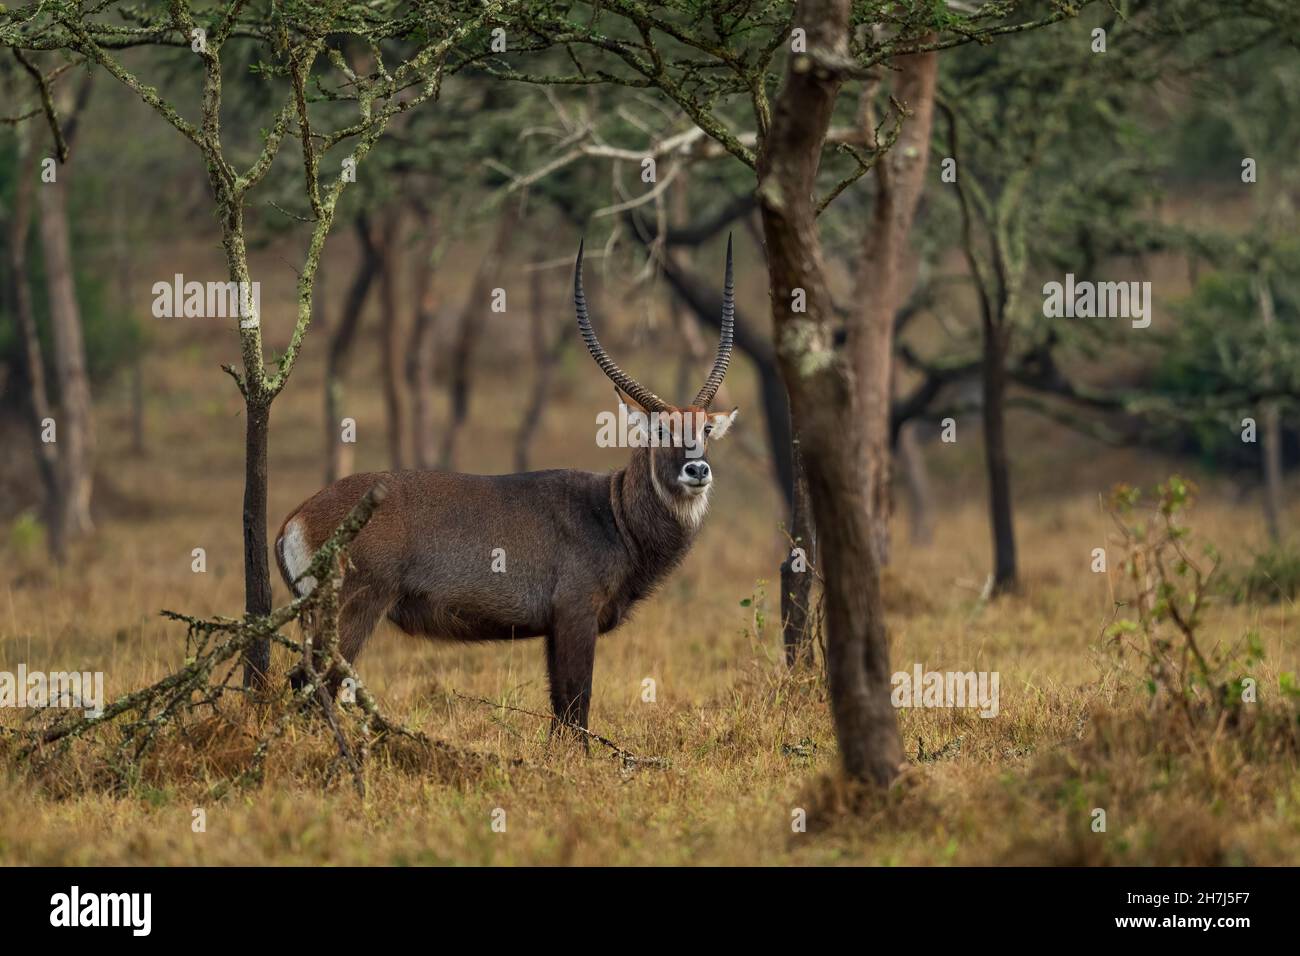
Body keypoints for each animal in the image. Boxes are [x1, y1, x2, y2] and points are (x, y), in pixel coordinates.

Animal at [275, 239, 738, 734]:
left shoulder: (554, 629)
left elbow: (561, 708)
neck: (613, 514)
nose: (697, 471)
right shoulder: (576, 615)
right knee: (311, 681)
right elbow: (577, 705)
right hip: (354, 608)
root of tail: (295, 518)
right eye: (662, 430)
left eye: (705, 430)